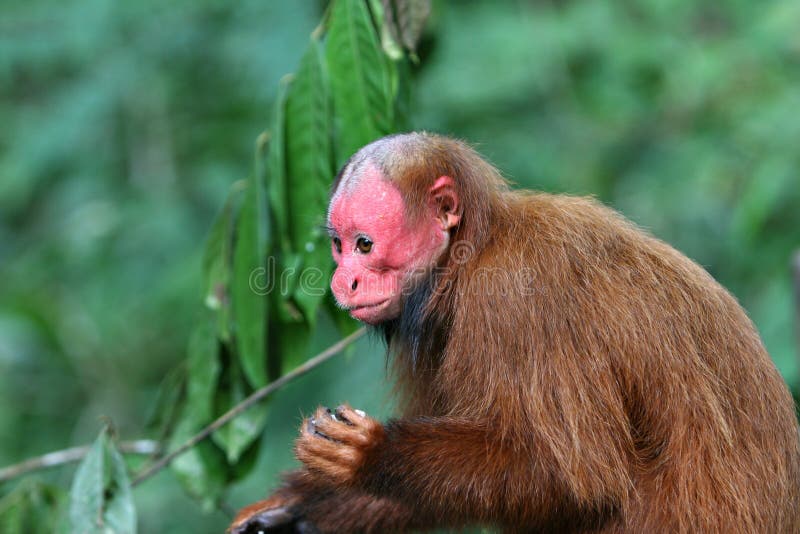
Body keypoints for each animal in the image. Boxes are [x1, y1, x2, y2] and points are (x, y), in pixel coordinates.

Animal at [229, 132, 800, 533]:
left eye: (364, 245)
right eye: (339, 245)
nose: (341, 280)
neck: (472, 253)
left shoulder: (517, 299)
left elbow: (575, 480)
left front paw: (371, 457)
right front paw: (297, 511)